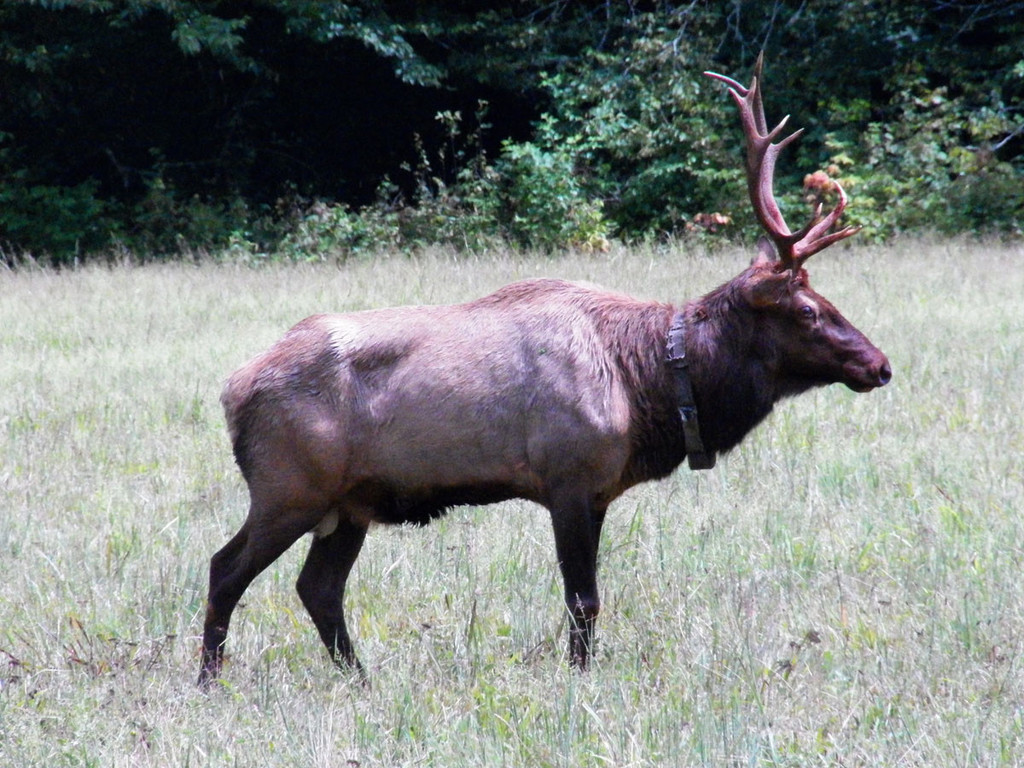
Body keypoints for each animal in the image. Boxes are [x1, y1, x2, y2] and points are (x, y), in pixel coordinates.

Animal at [197, 54, 891, 687]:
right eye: (807, 309)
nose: (879, 365)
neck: (649, 388)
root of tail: (234, 390)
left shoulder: (600, 488)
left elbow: (586, 598)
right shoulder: (567, 475)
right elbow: (583, 599)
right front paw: (578, 679)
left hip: (348, 503)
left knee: (318, 588)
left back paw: (361, 680)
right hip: (289, 485)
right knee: (226, 568)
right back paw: (209, 679)